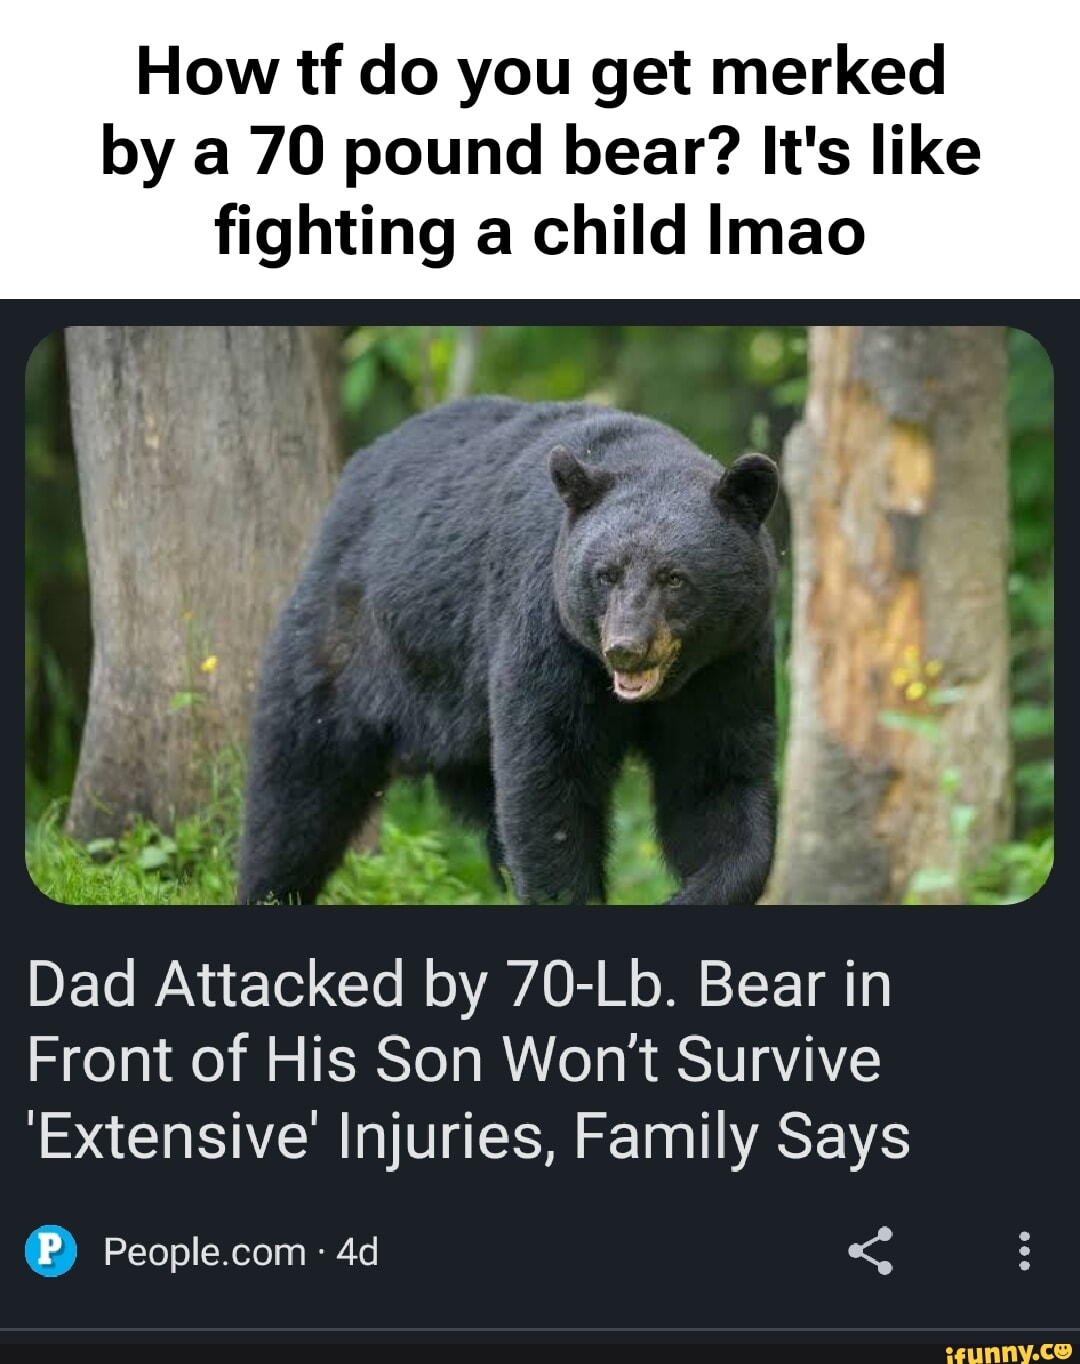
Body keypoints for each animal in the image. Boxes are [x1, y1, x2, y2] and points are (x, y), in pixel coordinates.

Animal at [237, 396, 779, 906]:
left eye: (674, 577)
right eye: (605, 574)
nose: (625, 648)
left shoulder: (728, 664)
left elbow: (717, 783)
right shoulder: (548, 634)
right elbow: (548, 783)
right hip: (345, 645)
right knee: (297, 789)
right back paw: (270, 885)